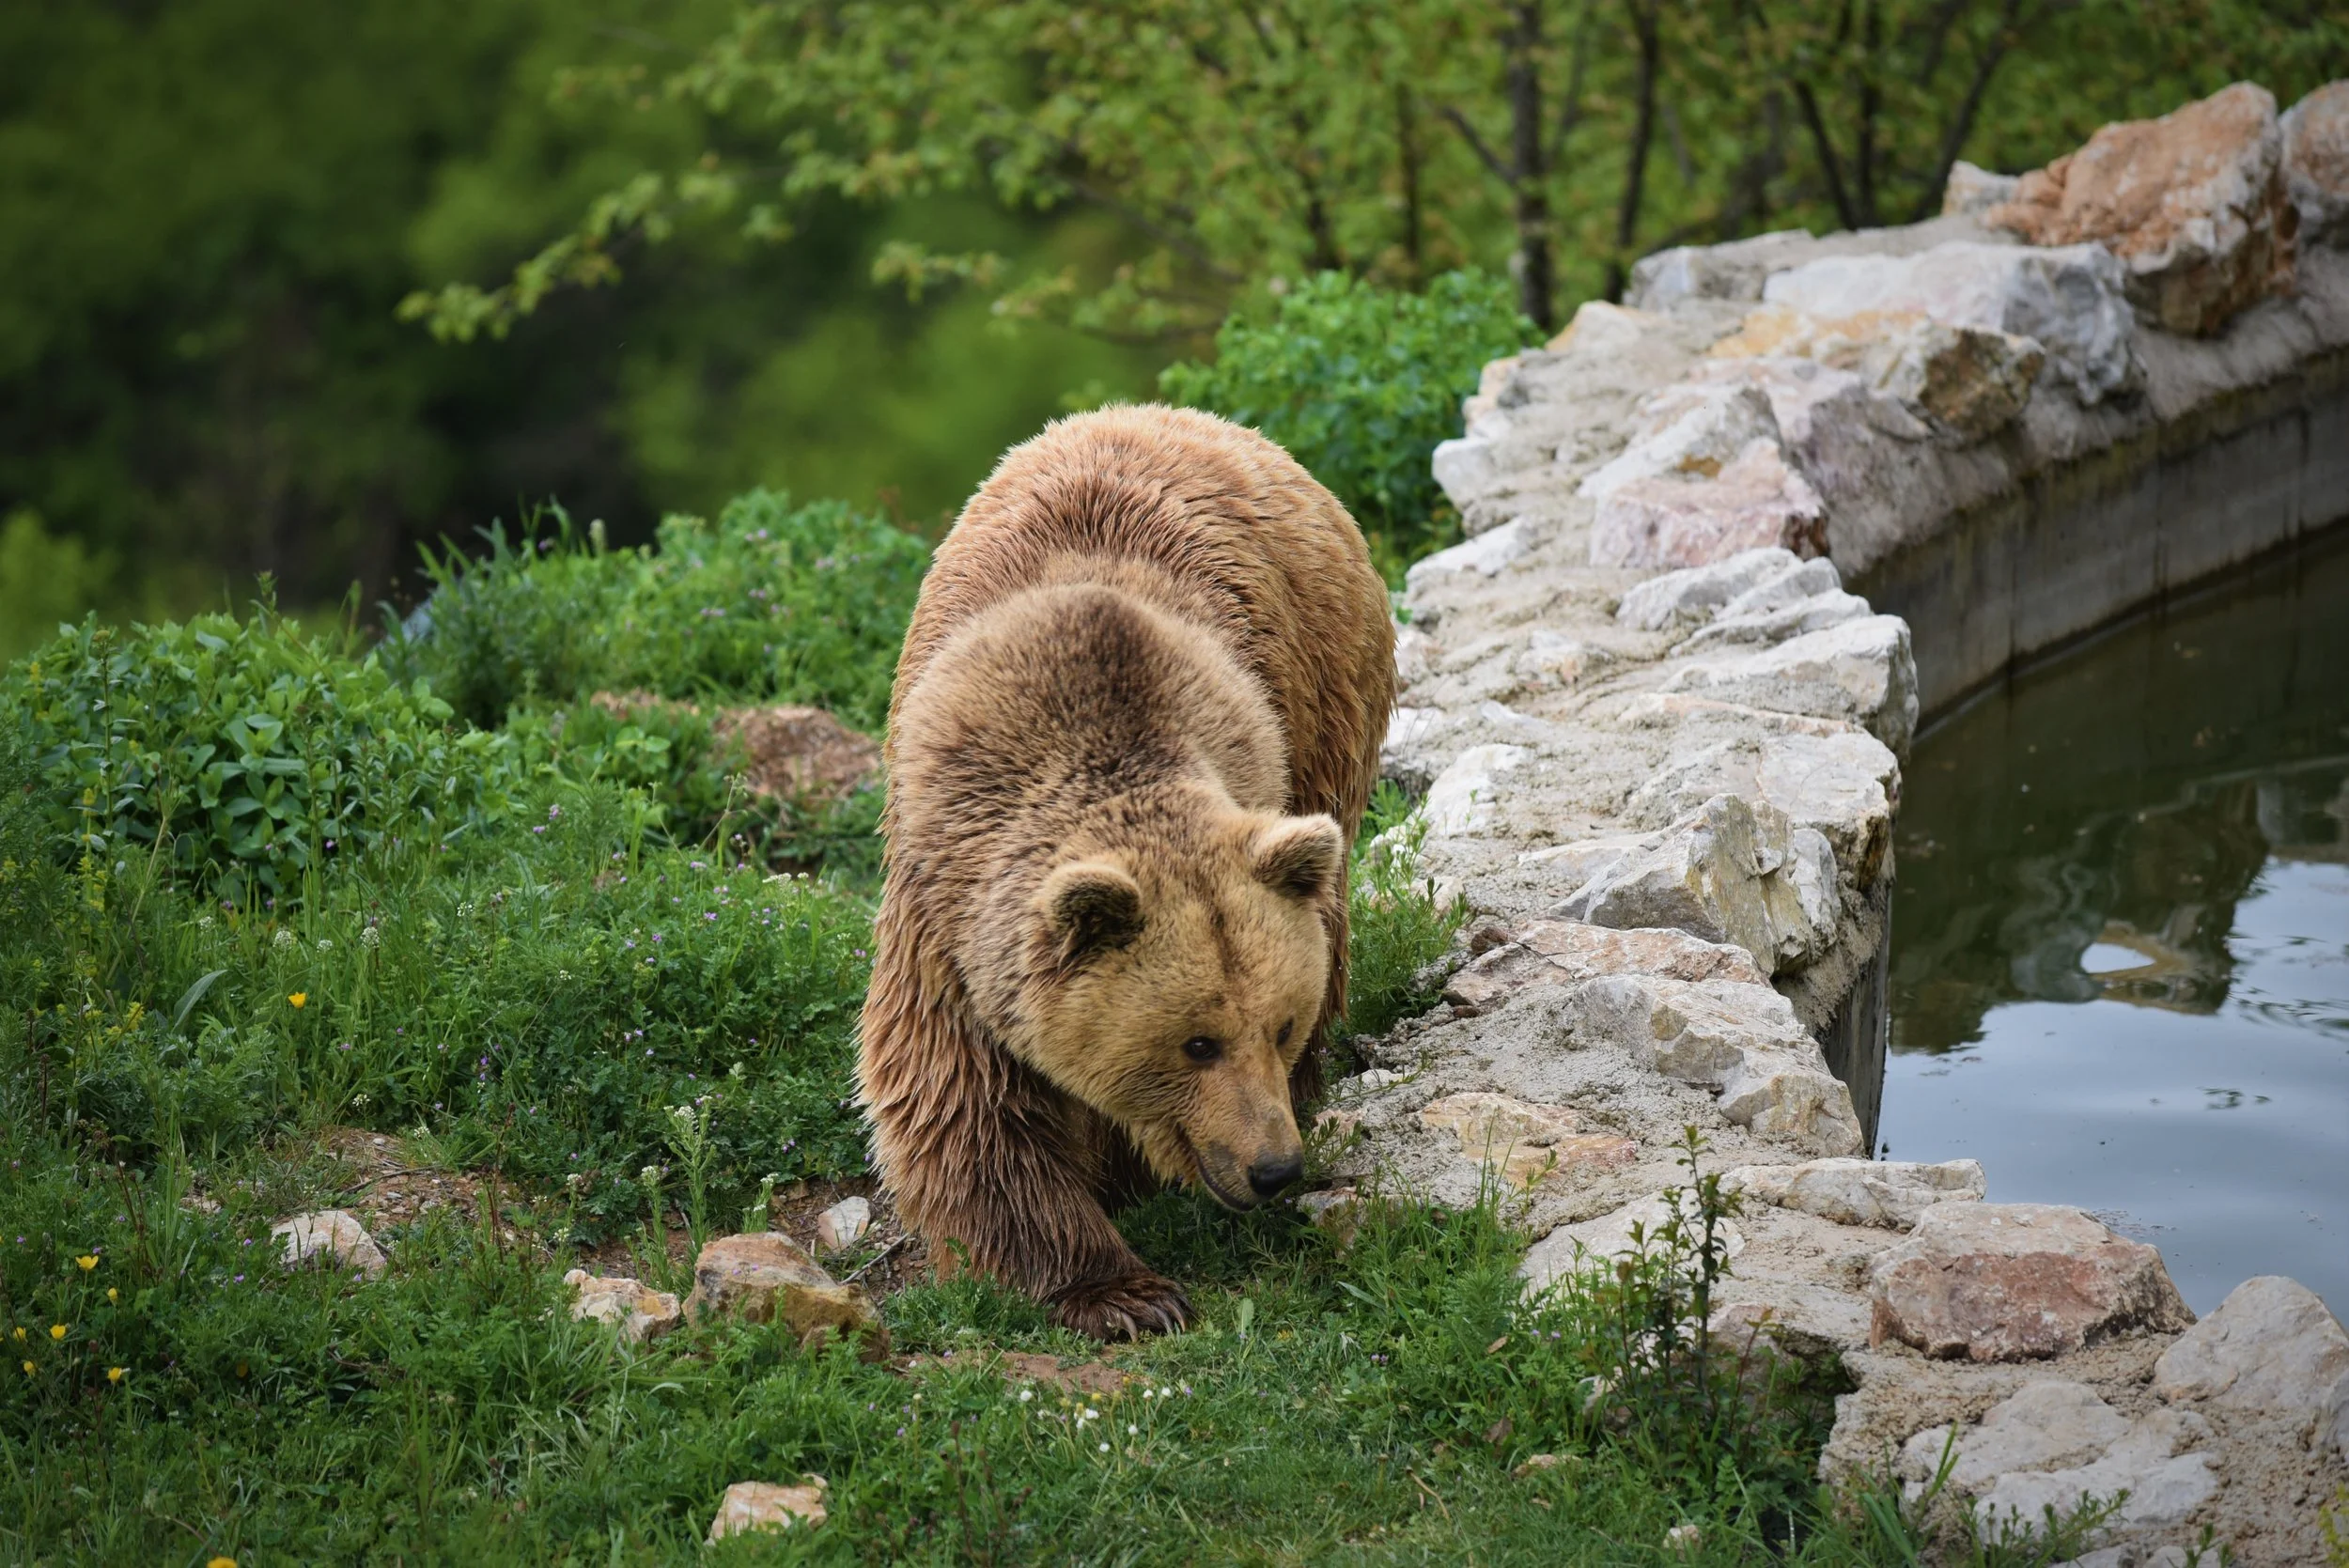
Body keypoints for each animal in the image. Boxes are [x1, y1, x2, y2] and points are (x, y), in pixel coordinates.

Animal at [857, 403, 1395, 1340]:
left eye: (1280, 1026)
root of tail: (1172, 414)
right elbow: (960, 1097)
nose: (1275, 1167)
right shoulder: (949, 916)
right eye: (1197, 1040)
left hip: (1331, 700)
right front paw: (1122, 1290)